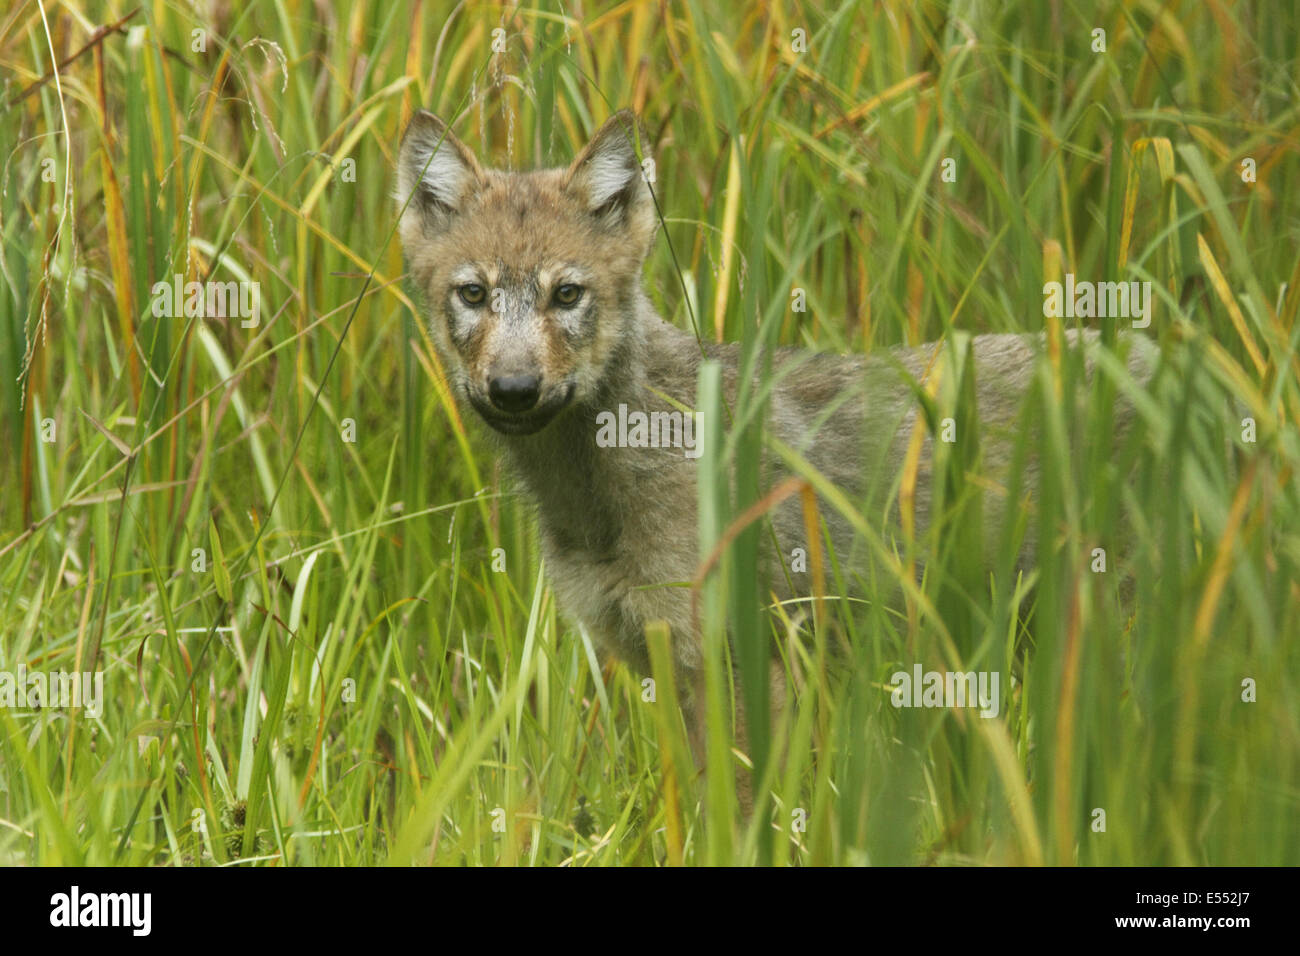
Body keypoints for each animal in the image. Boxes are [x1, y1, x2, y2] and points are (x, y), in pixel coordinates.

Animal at [395, 109, 1156, 783]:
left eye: (567, 295)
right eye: (473, 294)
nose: (514, 389)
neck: (599, 499)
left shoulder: (746, 670)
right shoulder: (660, 663)